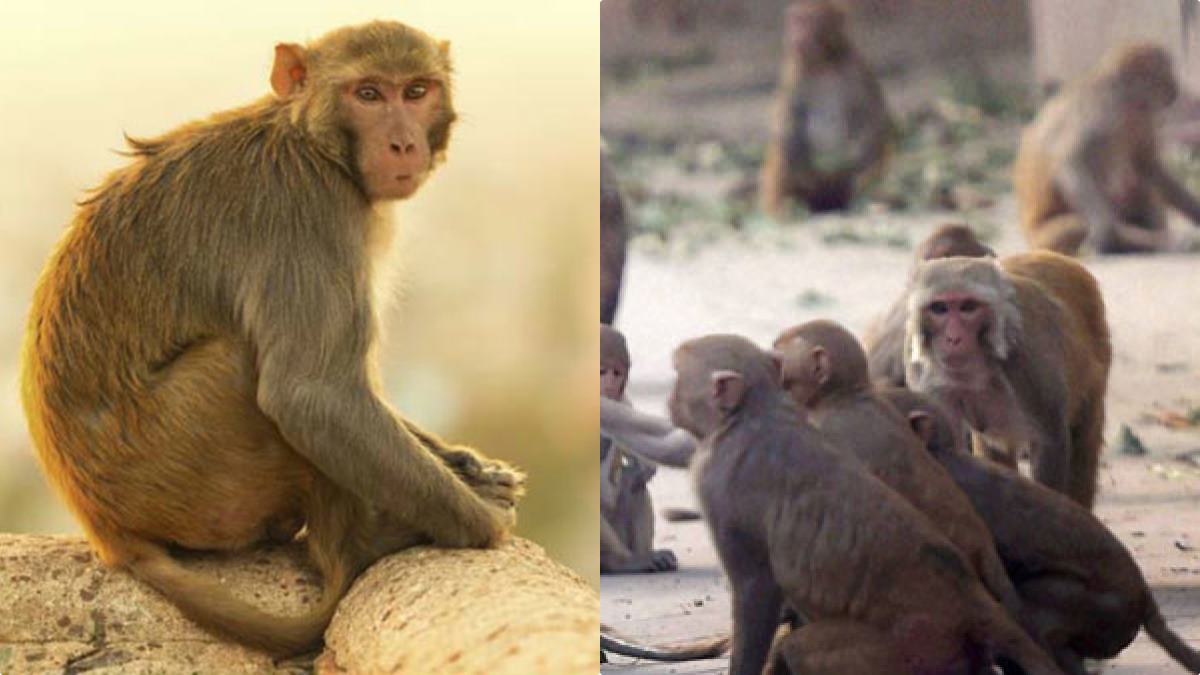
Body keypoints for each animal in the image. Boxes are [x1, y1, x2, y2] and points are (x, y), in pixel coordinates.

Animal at [20, 22, 526, 656]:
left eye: (415, 91)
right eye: (367, 94)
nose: (403, 144)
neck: (312, 143)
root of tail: (109, 533)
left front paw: (465, 464)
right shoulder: (308, 213)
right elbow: (313, 395)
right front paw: (483, 523)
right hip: (190, 469)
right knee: (247, 367)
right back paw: (362, 542)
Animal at [599, 325, 677, 573]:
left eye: (616, 372)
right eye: (602, 371)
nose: (610, 384)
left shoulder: (620, 401)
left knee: (632, 482)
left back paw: (646, 555)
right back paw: (620, 562)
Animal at [759, 0, 892, 216]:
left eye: (809, 20)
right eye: (795, 20)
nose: (796, 34)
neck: (824, 62)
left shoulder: (857, 68)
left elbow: (872, 116)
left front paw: (864, 168)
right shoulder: (793, 72)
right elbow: (787, 120)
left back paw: (872, 200)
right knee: (781, 153)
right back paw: (782, 207)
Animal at [902, 252, 1111, 509]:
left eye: (968, 307)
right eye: (939, 308)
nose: (953, 338)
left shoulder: (1028, 358)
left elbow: (1050, 440)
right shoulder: (921, 371)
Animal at [1015, 43, 1200, 255]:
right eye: (1166, 71)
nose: (1175, 87)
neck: (1125, 94)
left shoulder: (1141, 118)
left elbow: (1148, 166)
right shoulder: (1105, 110)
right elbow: (1071, 162)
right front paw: (1106, 233)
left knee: (1138, 181)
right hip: (1043, 237)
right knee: (1078, 224)